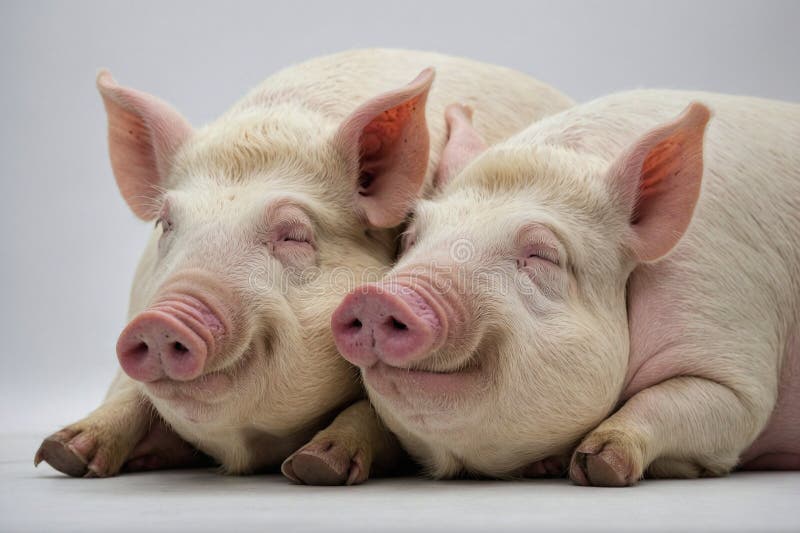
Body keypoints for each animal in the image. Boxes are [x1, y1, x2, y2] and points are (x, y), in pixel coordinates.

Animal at [34, 49, 574, 484]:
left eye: (292, 233)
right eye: (167, 224)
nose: (161, 320)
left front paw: (315, 465)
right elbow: (131, 395)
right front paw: (61, 453)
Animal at [332, 91, 800, 485]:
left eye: (542, 255)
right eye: (412, 239)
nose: (376, 297)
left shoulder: (732, 348)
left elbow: (684, 402)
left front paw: (597, 465)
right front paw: (321, 461)